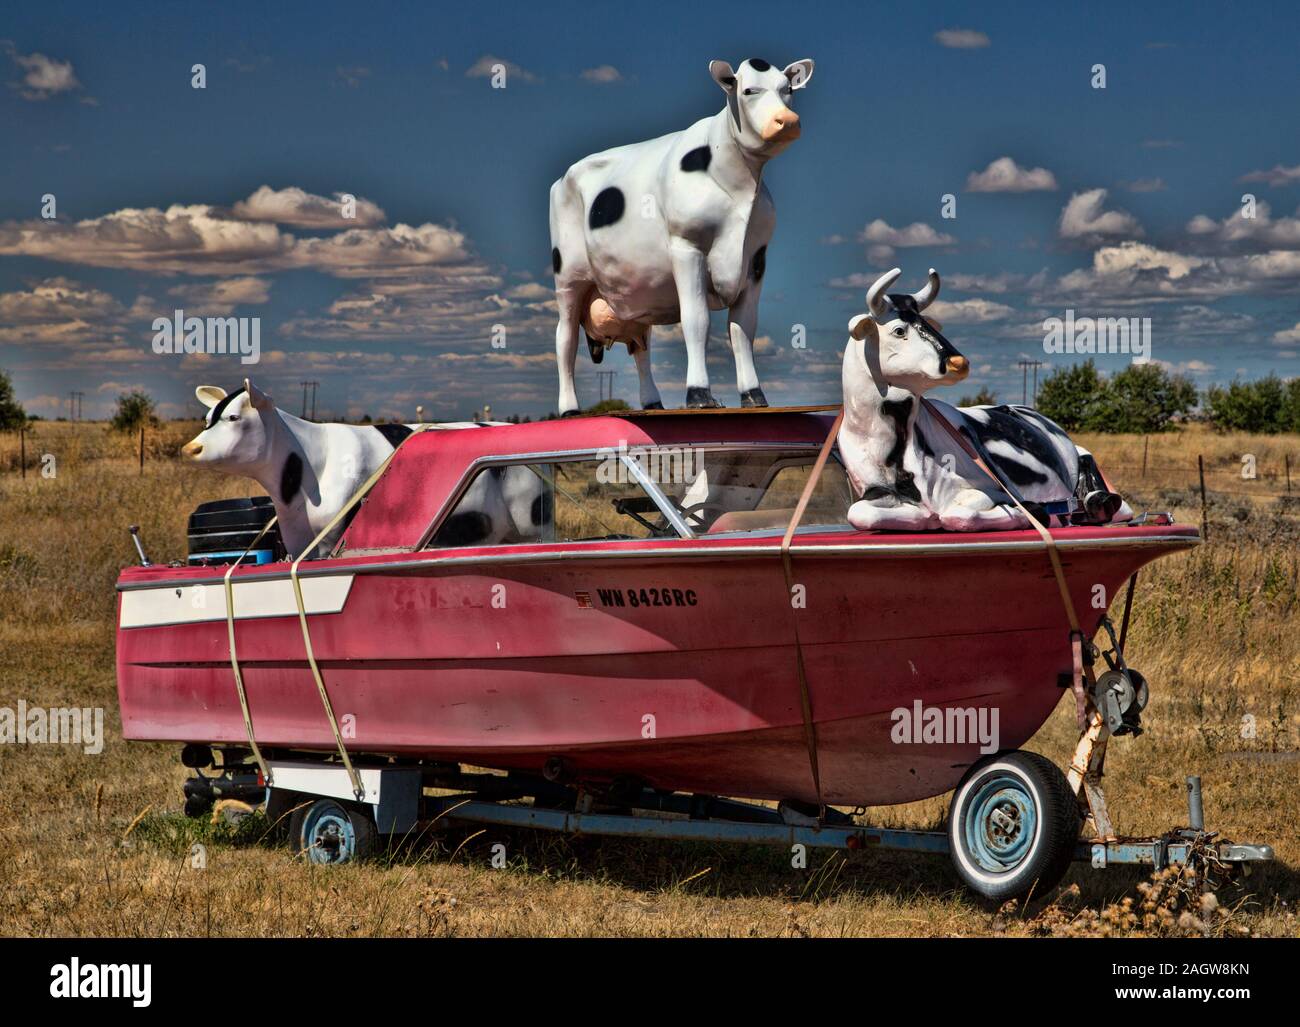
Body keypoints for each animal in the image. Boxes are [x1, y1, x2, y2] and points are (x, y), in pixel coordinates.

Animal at [181, 379, 544, 558]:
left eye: (233, 417)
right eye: (207, 417)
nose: (190, 448)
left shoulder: (334, 535)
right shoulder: (297, 538)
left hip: (531, 519)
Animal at [549, 56, 815, 415]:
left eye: (788, 90)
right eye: (749, 90)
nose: (787, 121)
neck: (740, 185)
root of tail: (563, 177)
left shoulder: (756, 260)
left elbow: (743, 329)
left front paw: (754, 395)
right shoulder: (687, 247)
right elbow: (696, 321)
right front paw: (699, 394)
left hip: (635, 290)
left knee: (640, 346)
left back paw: (653, 403)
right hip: (568, 278)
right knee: (565, 340)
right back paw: (570, 408)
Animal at [838, 268, 1132, 532]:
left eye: (928, 323)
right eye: (899, 330)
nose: (958, 363)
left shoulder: (983, 490)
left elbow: (958, 515)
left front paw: (1031, 512)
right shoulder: (874, 491)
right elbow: (860, 512)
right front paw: (919, 517)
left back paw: (1098, 502)